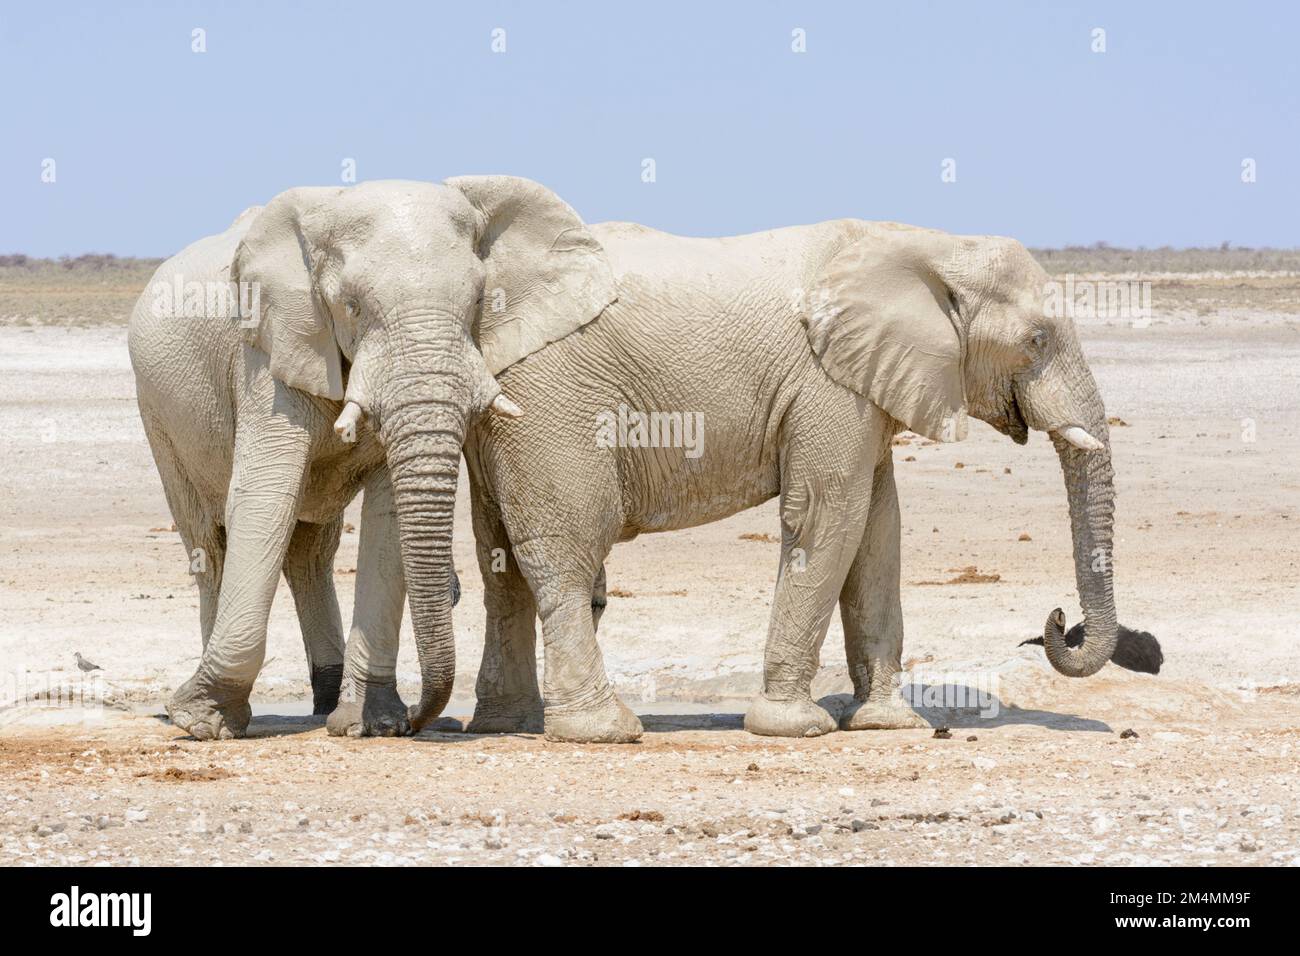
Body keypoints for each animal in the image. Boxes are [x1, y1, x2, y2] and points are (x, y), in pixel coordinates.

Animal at [127, 177, 599, 739]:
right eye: (351, 306)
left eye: (479, 302)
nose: (422, 721)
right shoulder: (268, 349)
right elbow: (263, 496)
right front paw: (204, 724)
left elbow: (387, 514)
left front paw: (371, 725)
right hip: (157, 411)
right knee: (209, 540)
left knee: (311, 551)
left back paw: (325, 697)